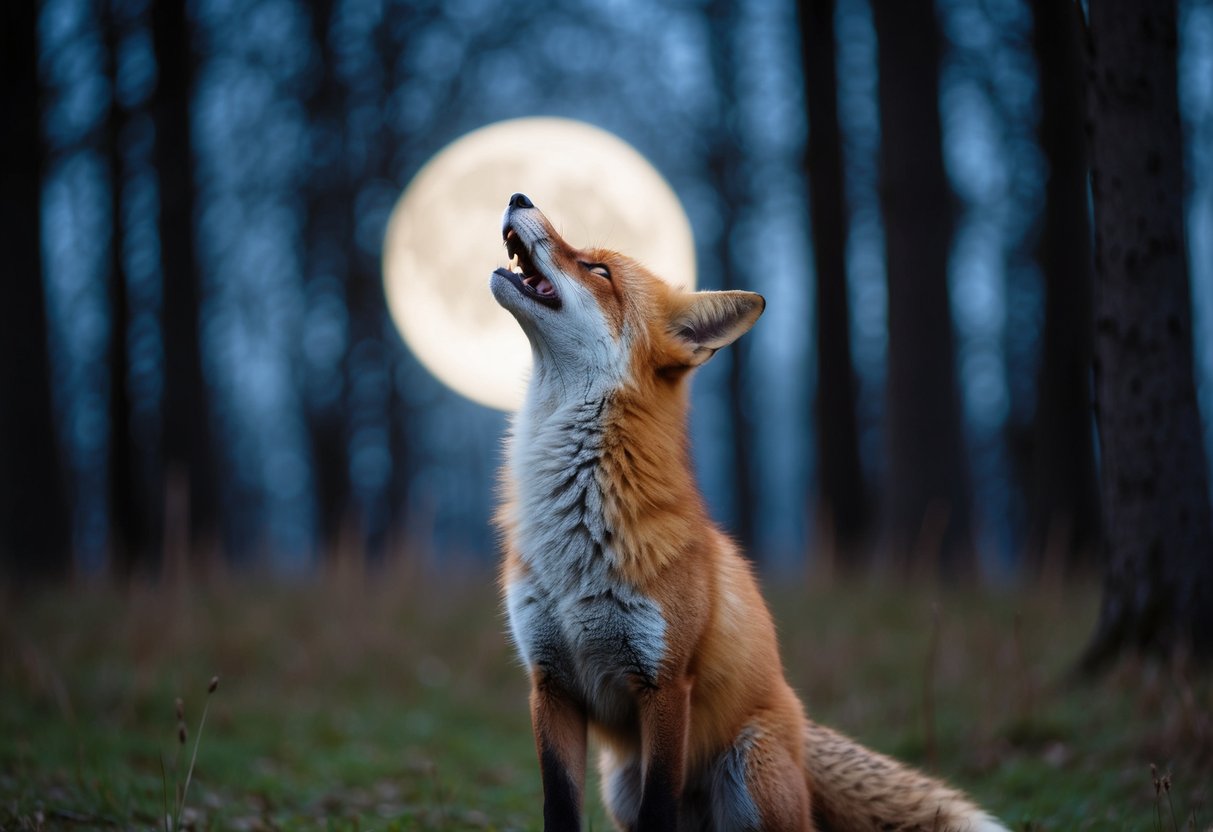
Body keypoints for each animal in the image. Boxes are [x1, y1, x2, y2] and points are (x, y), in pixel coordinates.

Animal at [490, 191, 1008, 832]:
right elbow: (558, 808)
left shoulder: (666, 683)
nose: (519, 196)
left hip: (750, 773)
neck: (574, 535)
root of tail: (800, 728)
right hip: (619, 784)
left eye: (600, 270)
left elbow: (660, 810)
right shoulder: (551, 683)